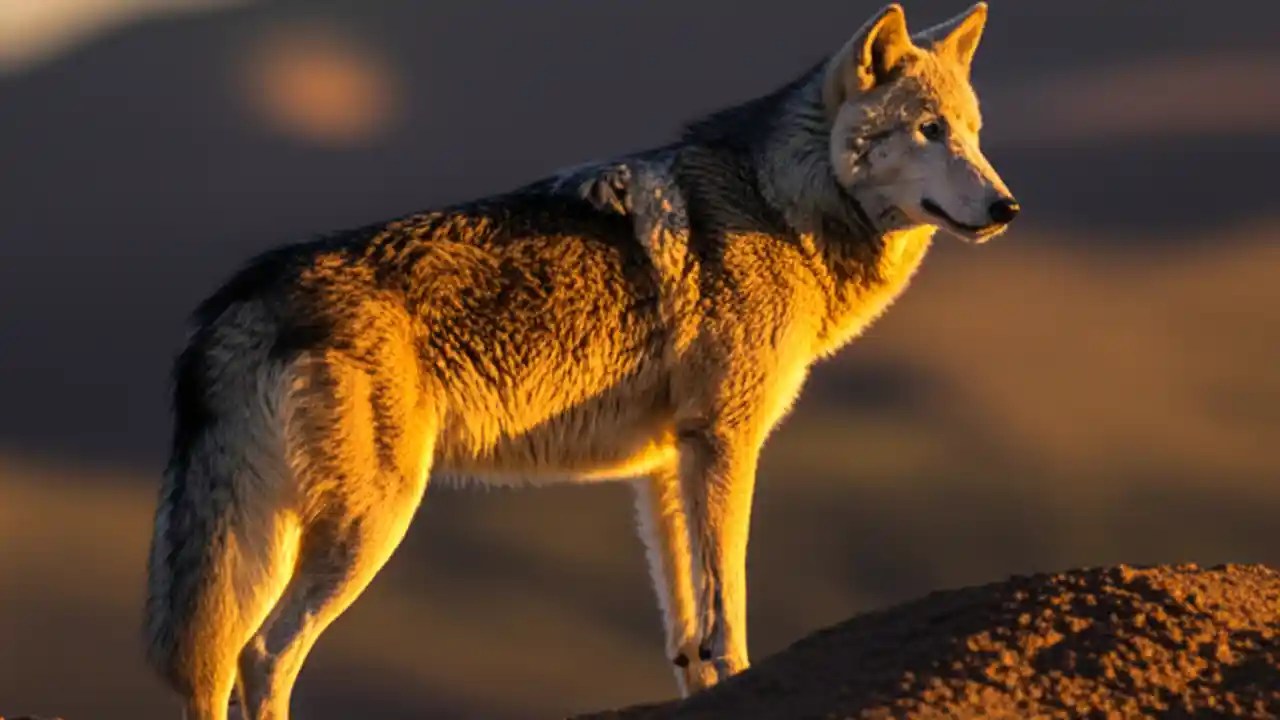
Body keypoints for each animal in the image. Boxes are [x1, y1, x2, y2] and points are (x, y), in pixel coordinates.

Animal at [144, 3, 1017, 718]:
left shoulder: (666, 464)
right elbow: (727, 601)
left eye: (973, 133)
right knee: (262, 655)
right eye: (929, 131)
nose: (1006, 207)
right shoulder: (726, 443)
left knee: (218, 665)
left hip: (275, 536)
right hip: (363, 526)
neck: (780, 202)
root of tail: (244, 292)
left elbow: (687, 632)